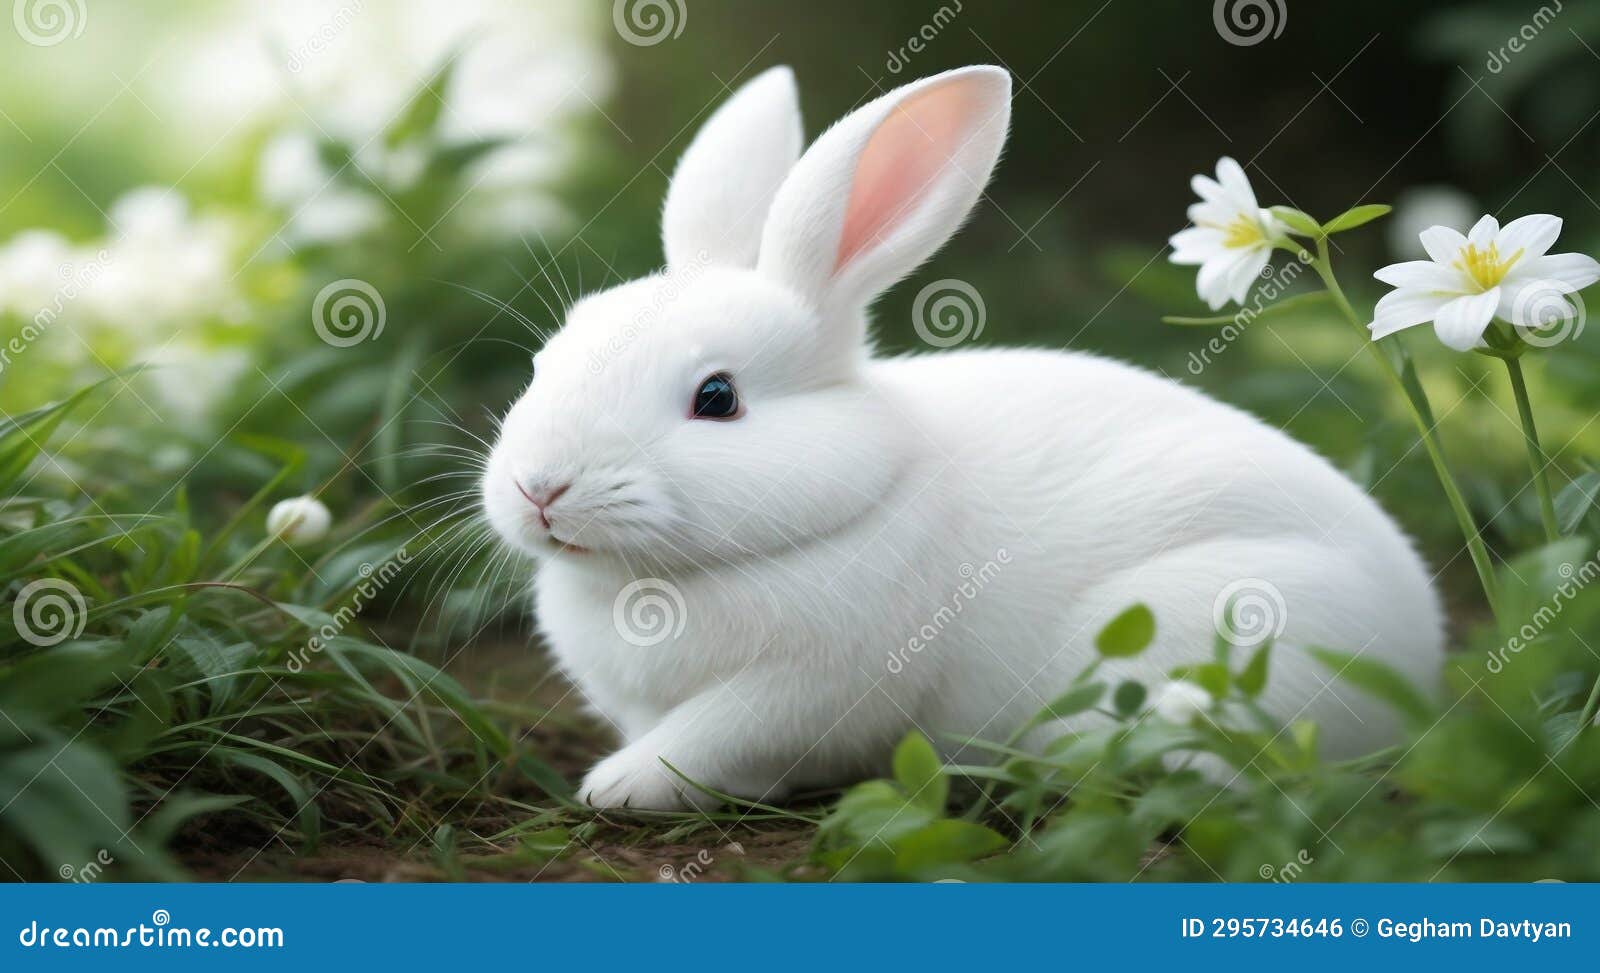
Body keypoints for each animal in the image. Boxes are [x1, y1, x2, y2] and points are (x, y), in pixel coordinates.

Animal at [480, 64, 1445, 810]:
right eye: (543, 360)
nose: (539, 488)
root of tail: (1417, 652)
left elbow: (706, 740)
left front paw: (618, 786)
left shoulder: (803, 689)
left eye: (717, 399)